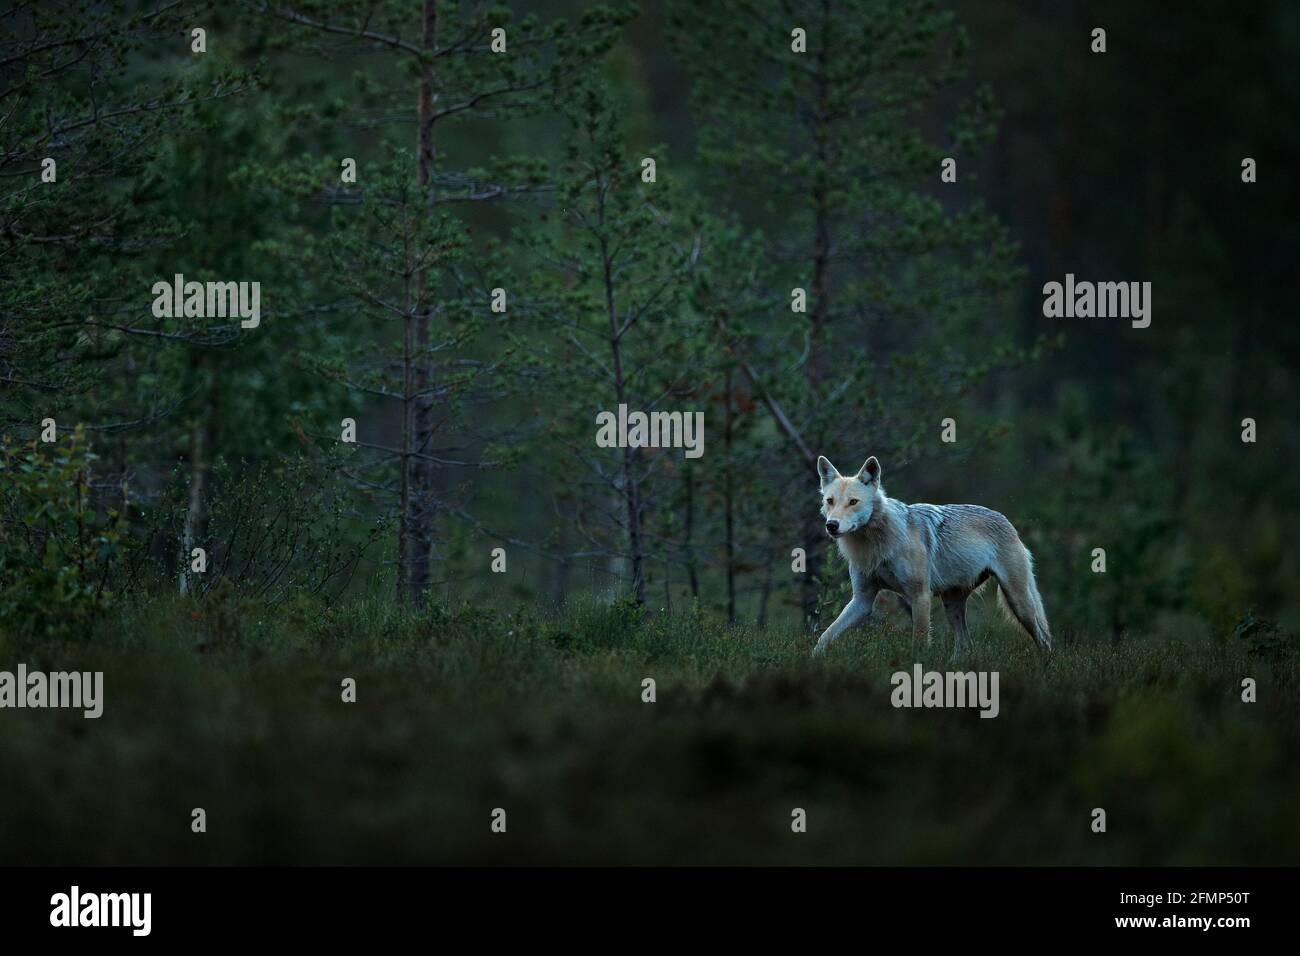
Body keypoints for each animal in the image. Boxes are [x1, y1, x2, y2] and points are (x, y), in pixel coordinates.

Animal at [813, 455, 1051, 657]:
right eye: (830, 501)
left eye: (853, 502)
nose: (831, 525)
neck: (876, 544)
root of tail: (1006, 520)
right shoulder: (862, 600)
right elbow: (825, 635)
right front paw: (814, 659)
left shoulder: (920, 596)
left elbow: (919, 641)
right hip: (952, 606)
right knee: (966, 645)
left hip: (1018, 602)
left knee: (1044, 640)